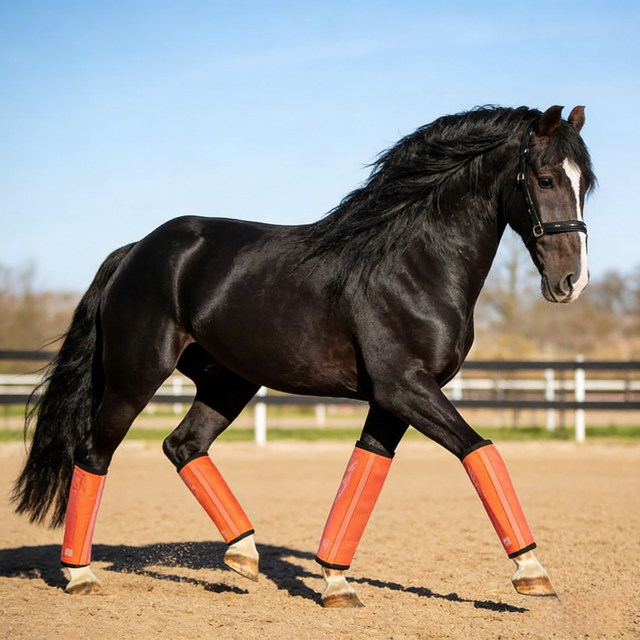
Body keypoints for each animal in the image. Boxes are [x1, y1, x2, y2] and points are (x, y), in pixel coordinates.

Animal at [13, 105, 595, 608]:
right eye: (545, 179)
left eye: (584, 182)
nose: (572, 282)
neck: (414, 265)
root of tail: (135, 251)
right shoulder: (405, 386)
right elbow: (480, 449)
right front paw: (532, 572)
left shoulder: (393, 398)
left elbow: (367, 470)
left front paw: (336, 583)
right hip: (136, 378)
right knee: (93, 454)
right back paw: (80, 574)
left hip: (228, 383)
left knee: (182, 445)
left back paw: (244, 553)